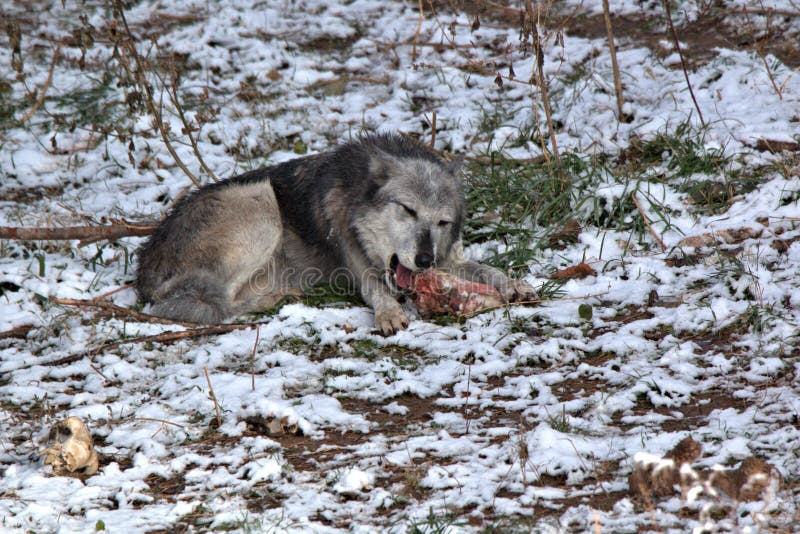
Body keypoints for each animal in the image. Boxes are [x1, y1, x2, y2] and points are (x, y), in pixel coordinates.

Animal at [136, 133, 535, 334]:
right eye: (408, 210)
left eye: (443, 223)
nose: (424, 260)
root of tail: (145, 260)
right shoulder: (356, 264)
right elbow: (376, 289)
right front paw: (389, 314)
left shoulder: (449, 257)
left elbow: (487, 270)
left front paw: (514, 284)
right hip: (261, 204)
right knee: (205, 305)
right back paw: (278, 298)